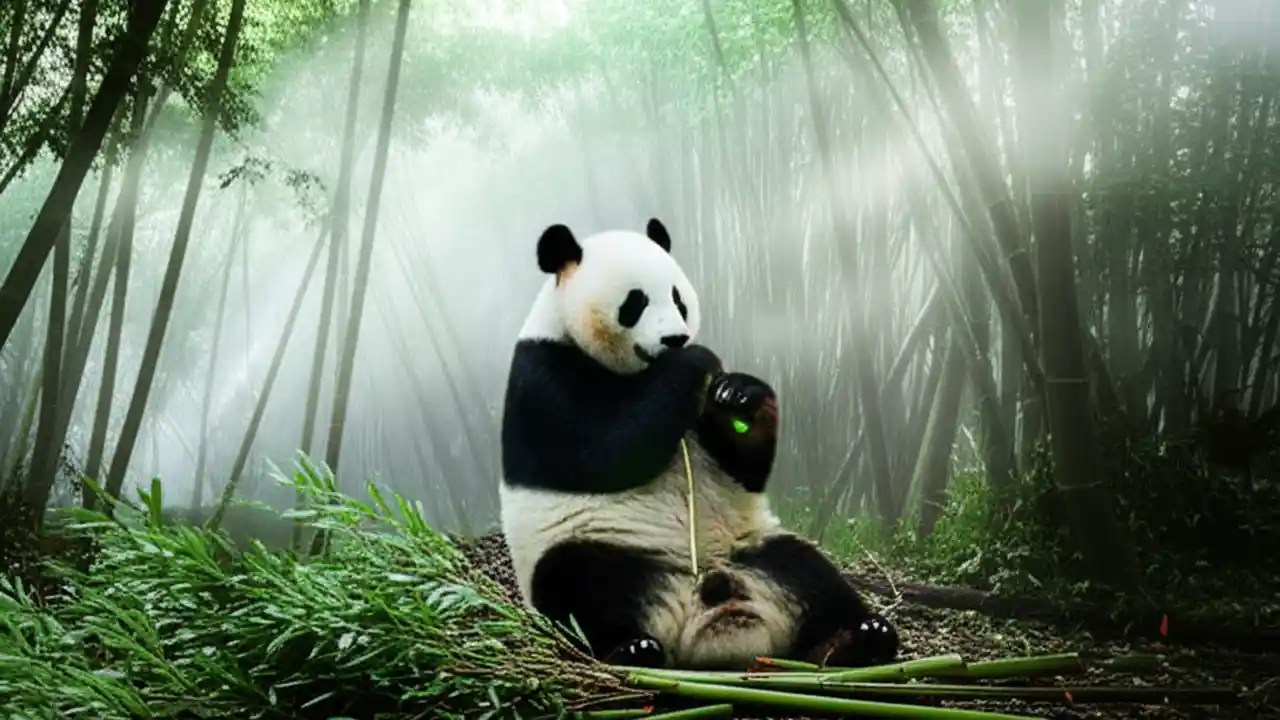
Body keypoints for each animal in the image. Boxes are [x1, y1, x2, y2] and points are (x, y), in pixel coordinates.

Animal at [498, 218, 897, 670]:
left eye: (678, 298)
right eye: (635, 302)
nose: (675, 338)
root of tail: (711, 598)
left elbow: (741, 465)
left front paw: (739, 394)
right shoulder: (543, 375)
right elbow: (602, 450)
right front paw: (694, 361)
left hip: (755, 548)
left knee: (808, 571)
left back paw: (857, 639)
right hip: (594, 549)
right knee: (580, 585)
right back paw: (634, 650)